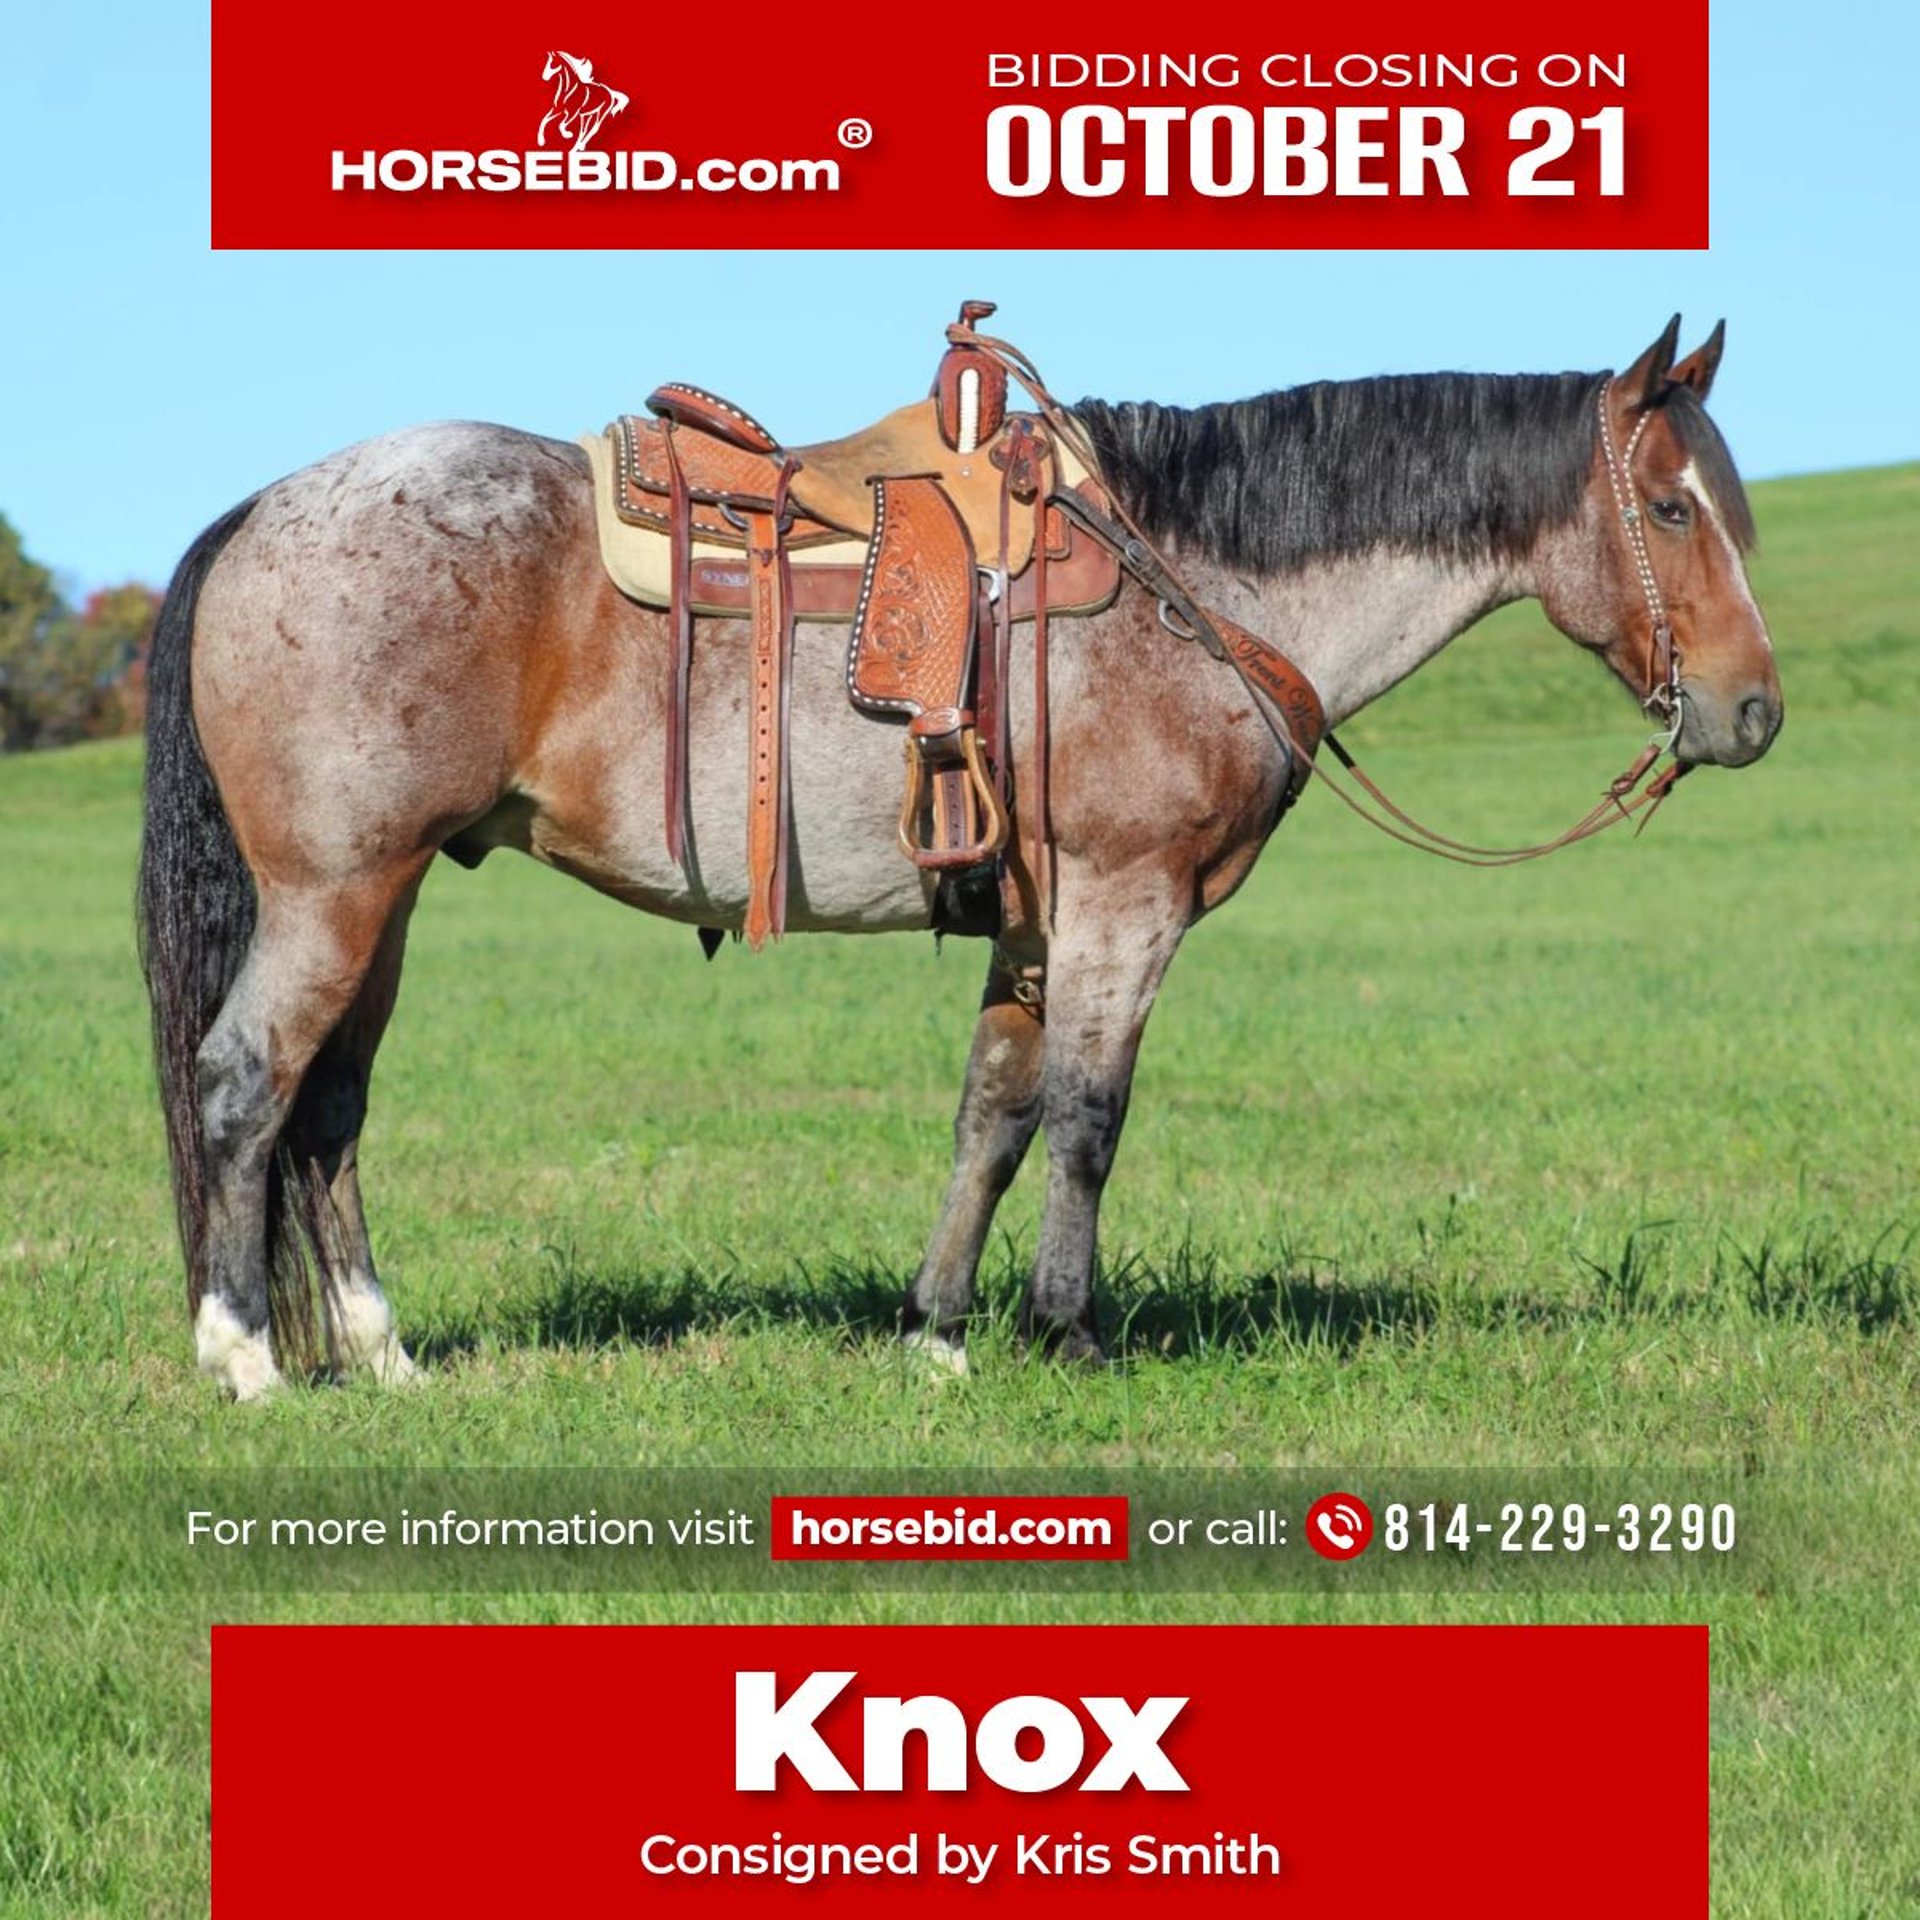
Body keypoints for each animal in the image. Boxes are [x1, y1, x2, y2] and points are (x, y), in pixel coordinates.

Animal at [136, 316, 1782, 1399]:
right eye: (1667, 506)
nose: (1754, 713)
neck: (1197, 585)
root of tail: (262, 511)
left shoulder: (1033, 921)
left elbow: (993, 1110)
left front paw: (938, 1330)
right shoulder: (1125, 901)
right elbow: (1089, 1116)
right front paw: (1073, 1332)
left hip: (392, 893)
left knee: (330, 1109)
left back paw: (385, 1355)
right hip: (335, 893)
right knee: (246, 1083)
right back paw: (246, 1359)